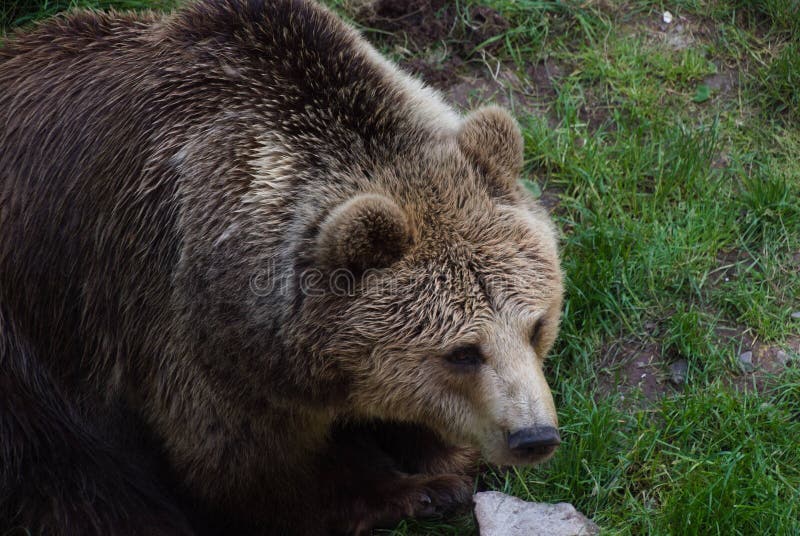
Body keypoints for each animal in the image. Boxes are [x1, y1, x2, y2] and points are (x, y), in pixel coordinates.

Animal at [0, 0, 564, 534]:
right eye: (463, 352)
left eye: (537, 325)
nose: (534, 436)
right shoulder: (175, 317)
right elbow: (247, 466)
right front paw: (416, 490)